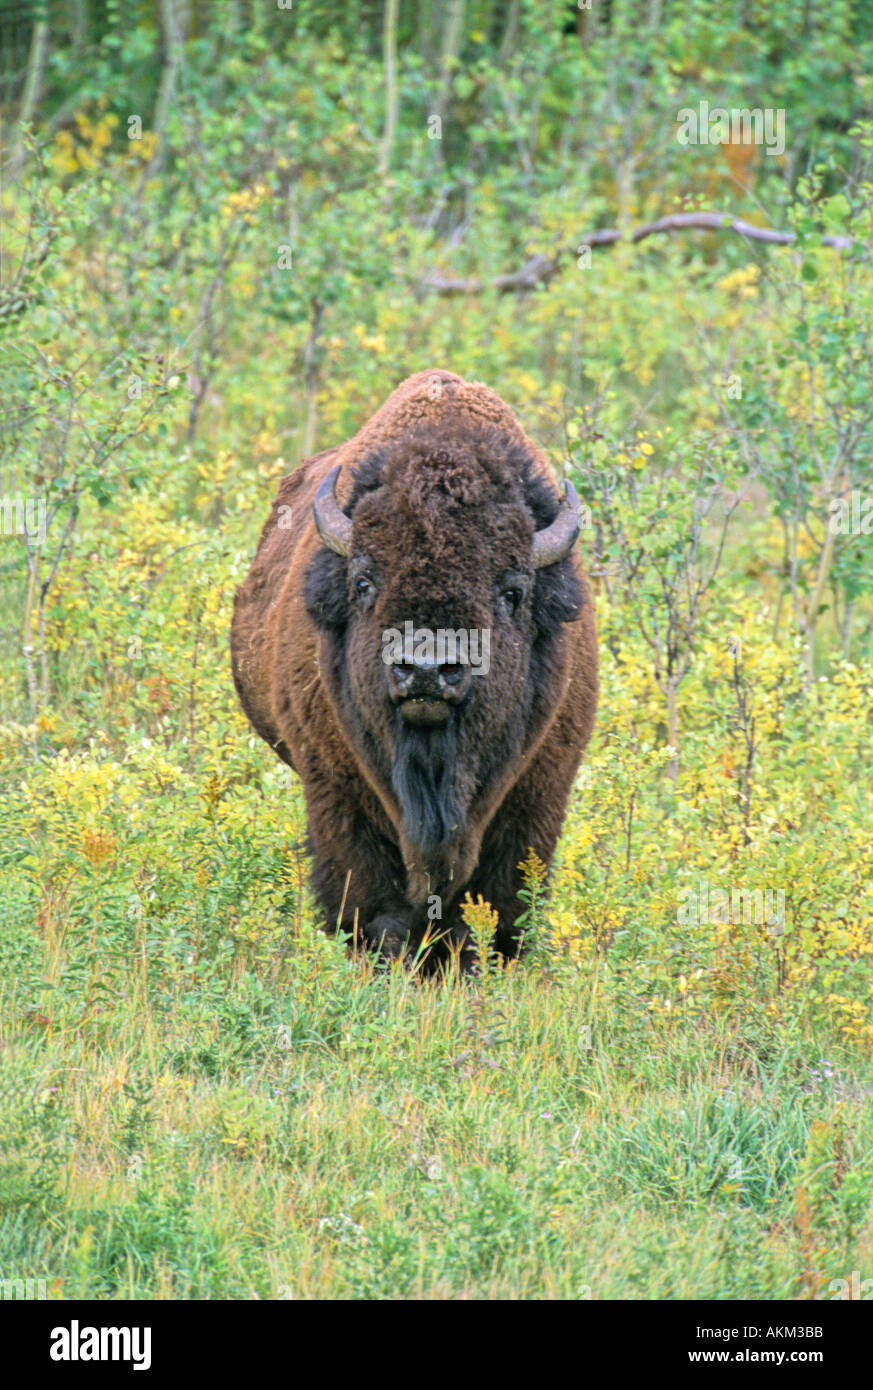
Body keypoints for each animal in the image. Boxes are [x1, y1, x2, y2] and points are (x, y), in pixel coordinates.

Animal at [230, 370, 598, 971]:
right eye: (363, 582)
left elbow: (497, 906)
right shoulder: (336, 791)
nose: (426, 671)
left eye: (512, 592)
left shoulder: (539, 792)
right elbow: (372, 903)